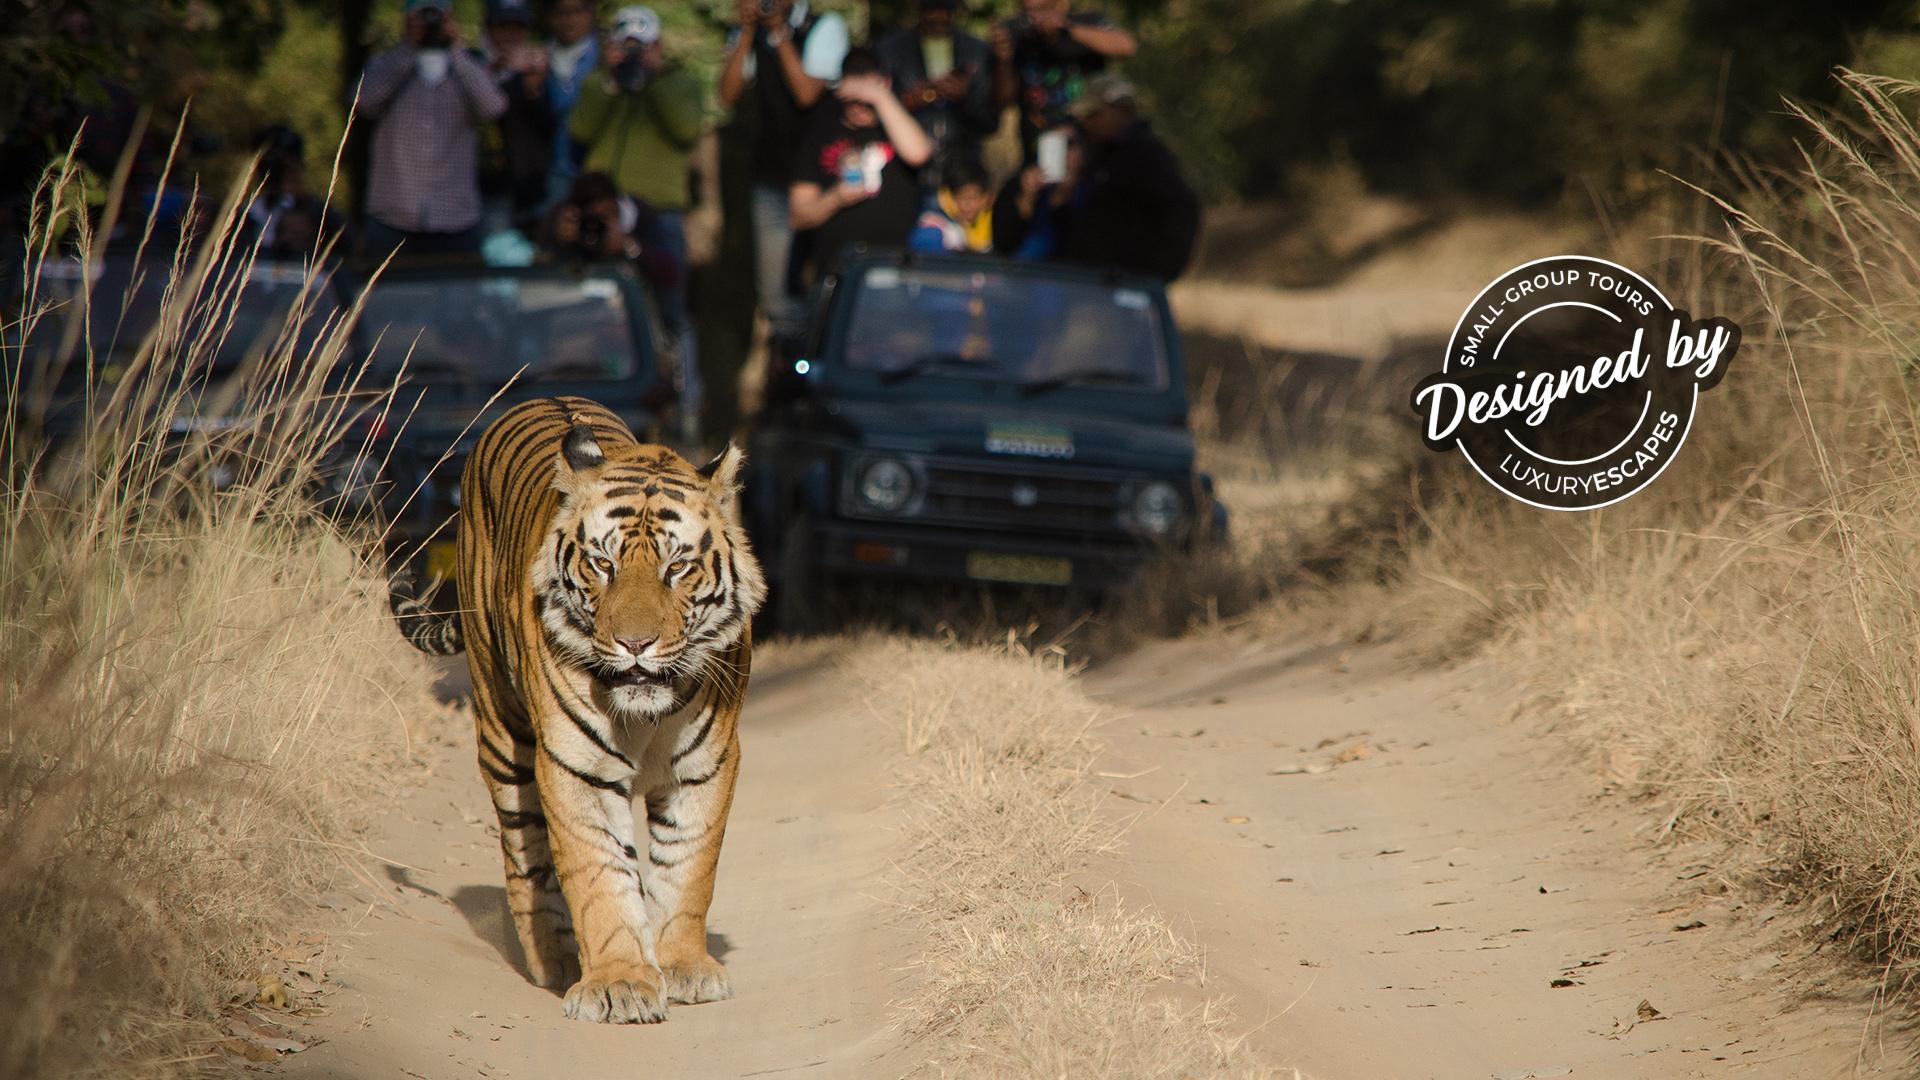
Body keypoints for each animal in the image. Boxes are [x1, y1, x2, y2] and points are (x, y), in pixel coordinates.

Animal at [394, 395, 767, 1024]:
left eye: (677, 568)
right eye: (602, 565)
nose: (635, 644)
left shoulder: (707, 764)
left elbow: (688, 870)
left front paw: (685, 966)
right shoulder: (575, 768)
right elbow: (599, 878)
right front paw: (619, 983)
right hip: (502, 736)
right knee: (525, 857)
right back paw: (552, 959)